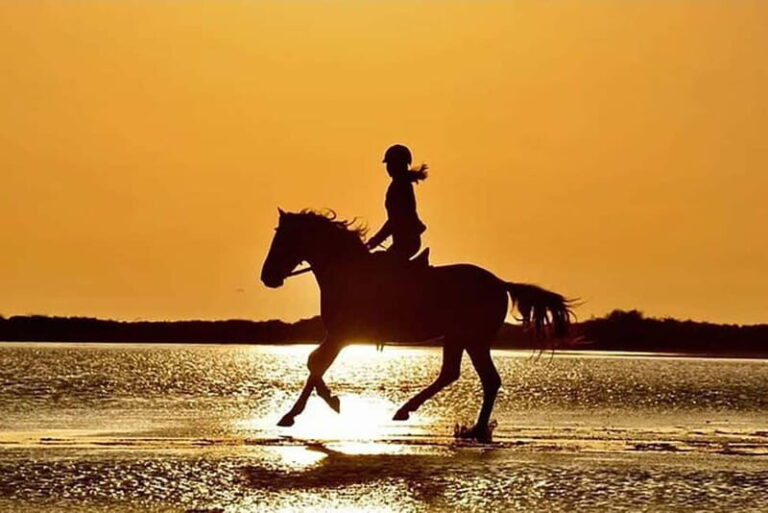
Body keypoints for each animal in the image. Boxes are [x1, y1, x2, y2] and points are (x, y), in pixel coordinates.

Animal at [260, 209, 573, 441]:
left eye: (283, 239)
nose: (267, 277)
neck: (346, 272)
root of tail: (500, 283)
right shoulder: (338, 336)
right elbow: (315, 362)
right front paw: (314, 406)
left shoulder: (342, 335)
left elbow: (316, 363)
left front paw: (301, 411)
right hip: (461, 337)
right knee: (459, 375)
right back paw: (449, 422)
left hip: (472, 338)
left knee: (483, 378)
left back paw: (461, 425)